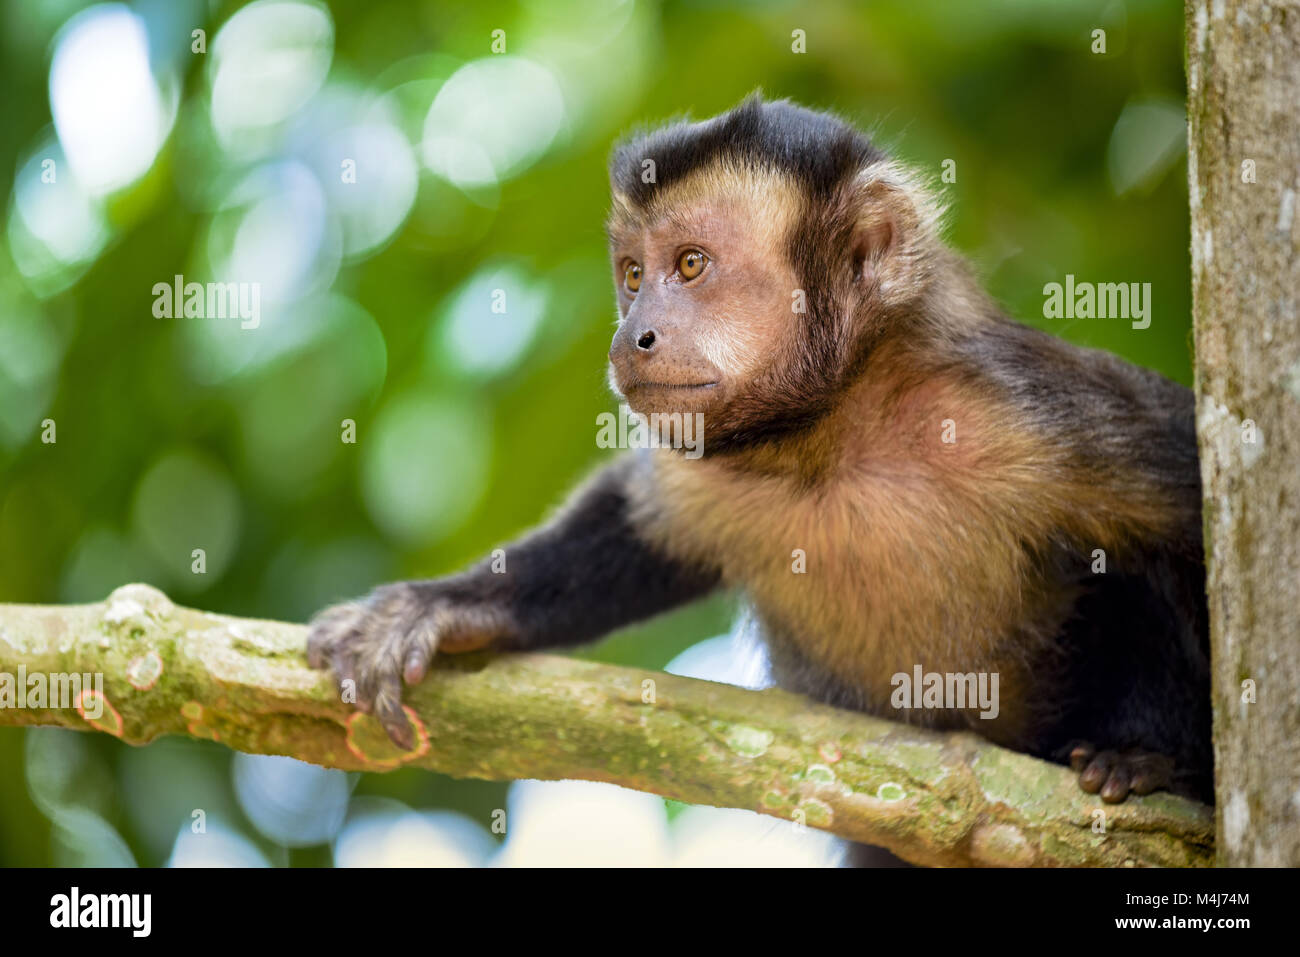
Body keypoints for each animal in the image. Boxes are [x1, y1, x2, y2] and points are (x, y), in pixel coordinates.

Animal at [306, 96, 1213, 828]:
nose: (629, 336)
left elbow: (1193, 510)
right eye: (632, 275)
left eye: (691, 265)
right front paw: (447, 605)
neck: (833, 432)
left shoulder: (1023, 410)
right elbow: (638, 528)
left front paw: (1169, 763)